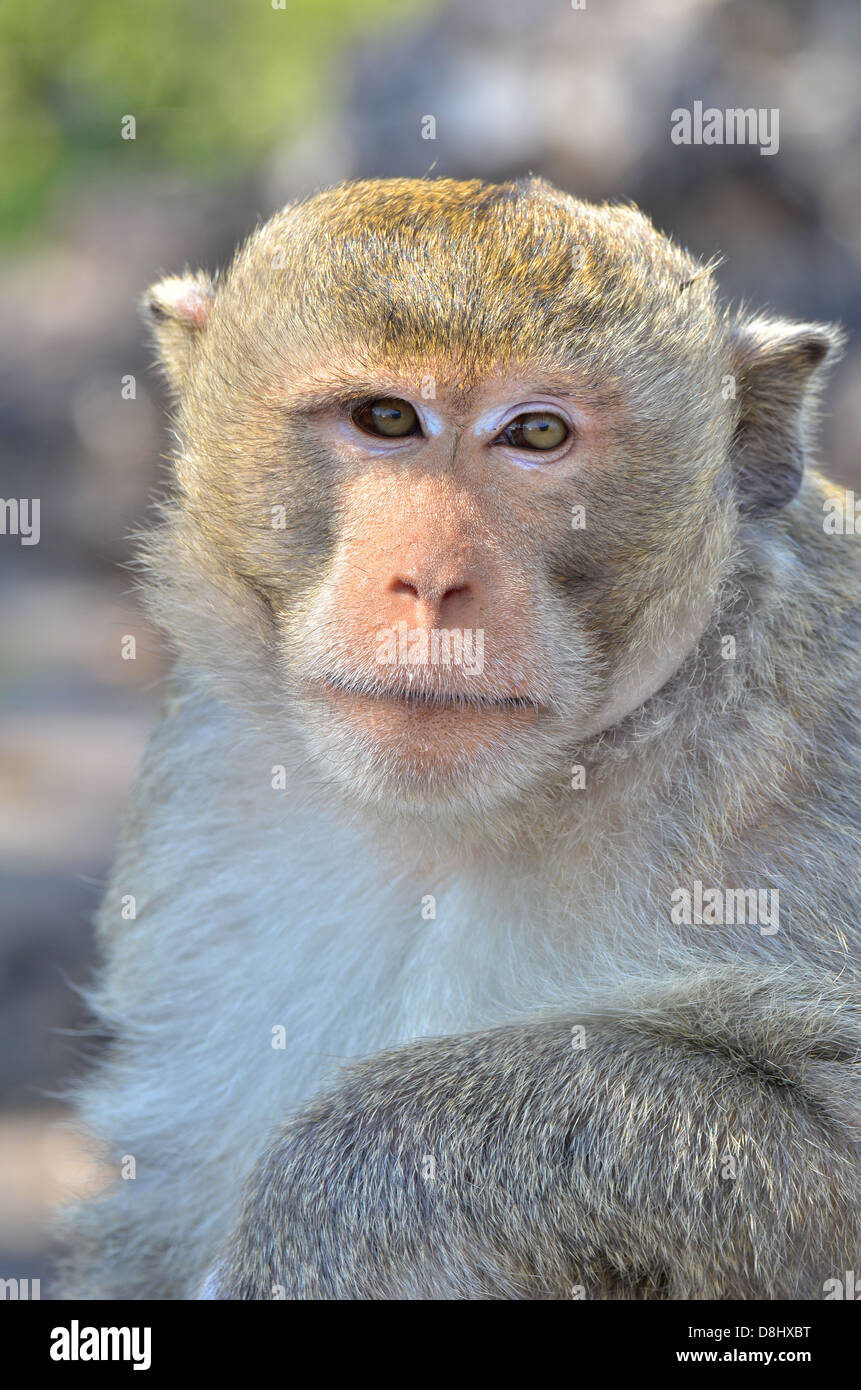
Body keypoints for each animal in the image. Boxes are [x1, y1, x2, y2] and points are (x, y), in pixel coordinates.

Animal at [58, 176, 860, 1300]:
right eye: (386, 418)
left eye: (535, 433)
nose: (432, 581)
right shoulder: (205, 777)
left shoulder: (805, 762)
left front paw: (340, 1185)